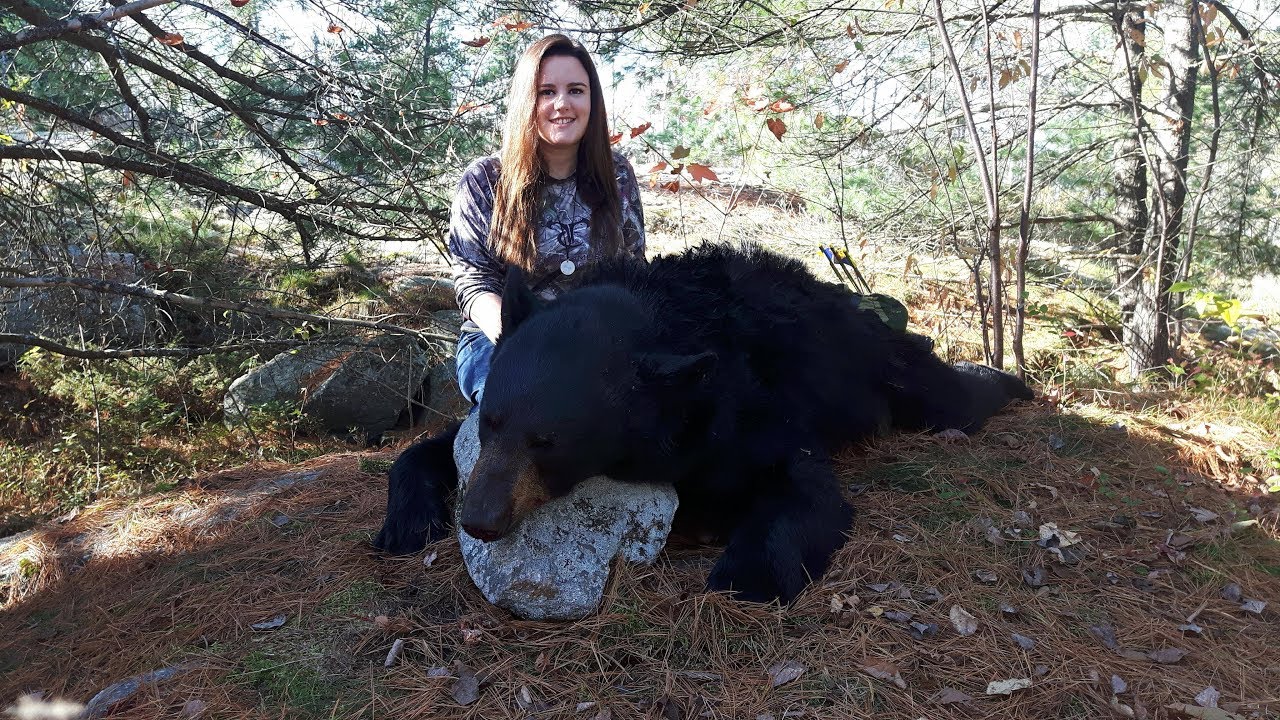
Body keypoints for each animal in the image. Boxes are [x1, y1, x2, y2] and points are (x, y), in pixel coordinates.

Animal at [374, 243, 1033, 604]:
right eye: (492, 421)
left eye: (549, 441)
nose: (480, 520)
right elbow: (422, 451)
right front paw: (407, 521)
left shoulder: (750, 414)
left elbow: (803, 488)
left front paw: (745, 572)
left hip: (877, 363)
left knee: (944, 395)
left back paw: (1006, 382)